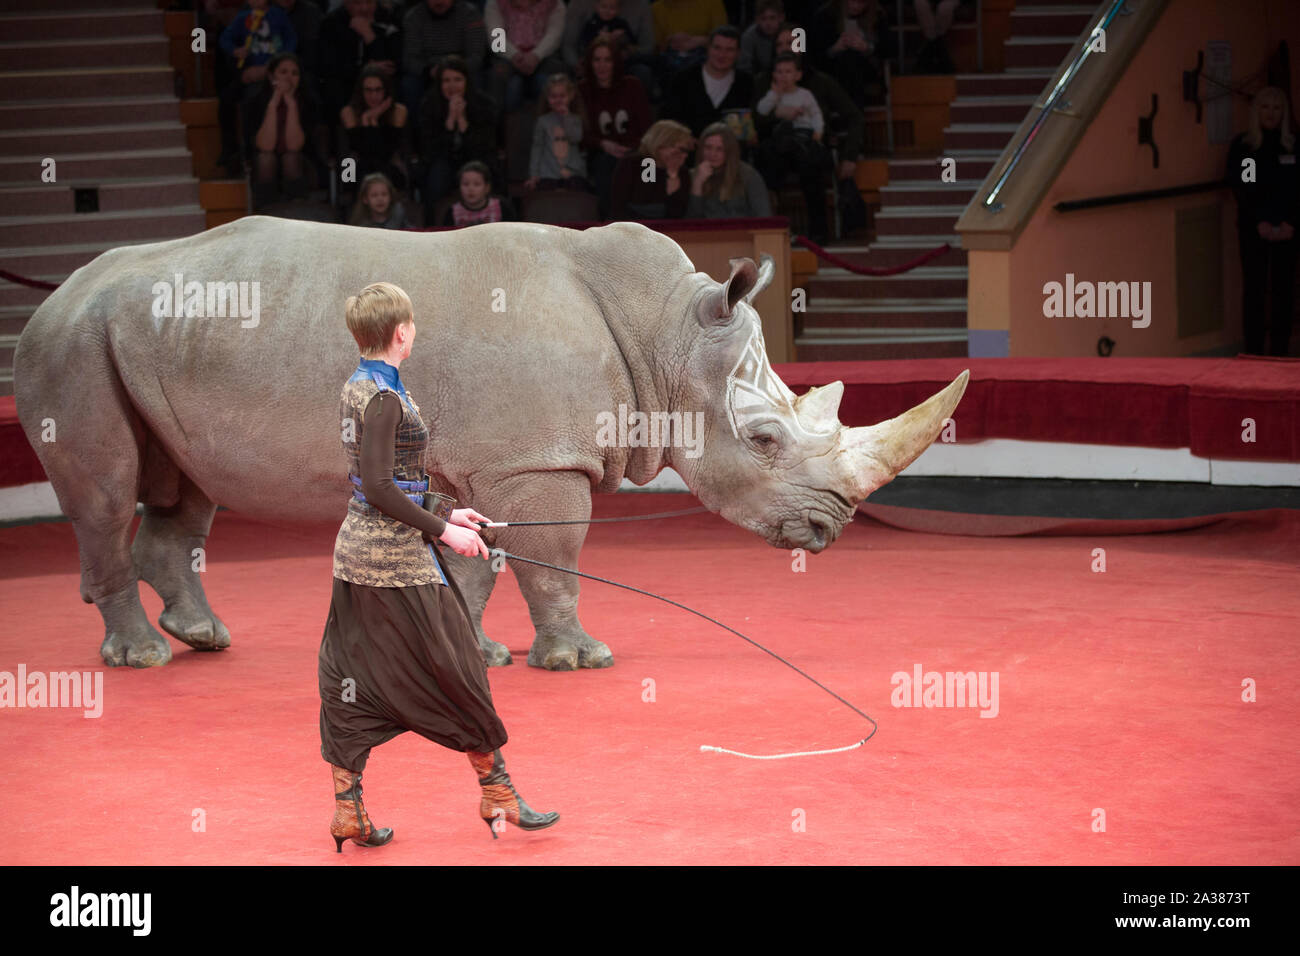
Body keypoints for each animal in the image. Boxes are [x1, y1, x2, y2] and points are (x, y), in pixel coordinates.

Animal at [14, 216, 967, 670]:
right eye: (765, 440)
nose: (831, 528)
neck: (667, 336)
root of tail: (54, 294)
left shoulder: (483, 459)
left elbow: (478, 561)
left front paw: (480, 655)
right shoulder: (534, 459)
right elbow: (555, 555)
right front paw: (579, 660)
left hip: (139, 338)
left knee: (183, 484)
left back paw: (202, 637)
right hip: (70, 342)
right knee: (106, 489)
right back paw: (139, 656)